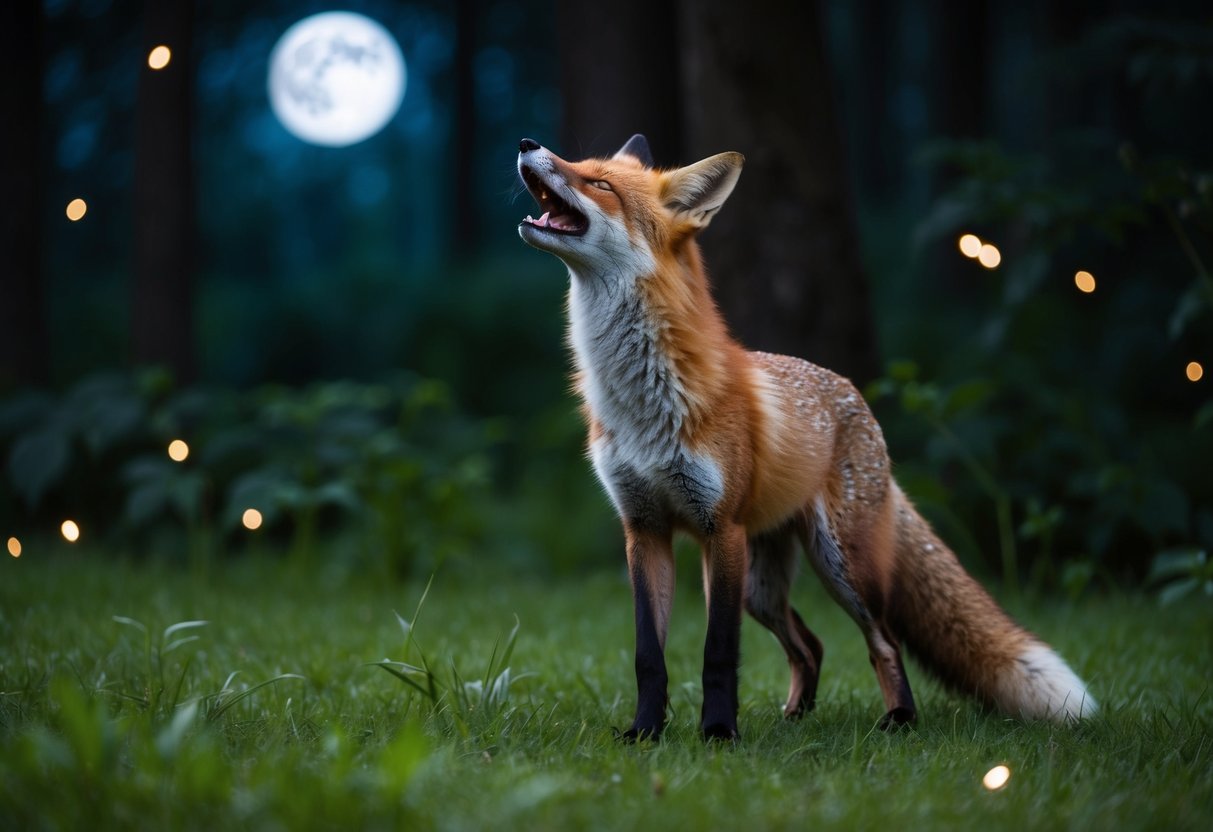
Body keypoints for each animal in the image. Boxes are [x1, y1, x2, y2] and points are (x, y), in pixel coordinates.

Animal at [516, 133, 1096, 741]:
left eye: (599, 183)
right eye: (580, 164)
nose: (528, 143)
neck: (639, 404)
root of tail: (856, 400)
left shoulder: (720, 529)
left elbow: (718, 653)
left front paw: (718, 733)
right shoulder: (644, 530)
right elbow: (648, 655)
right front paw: (646, 733)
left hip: (834, 565)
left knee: (884, 642)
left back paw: (900, 719)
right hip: (758, 584)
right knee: (811, 646)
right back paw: (797, 716)